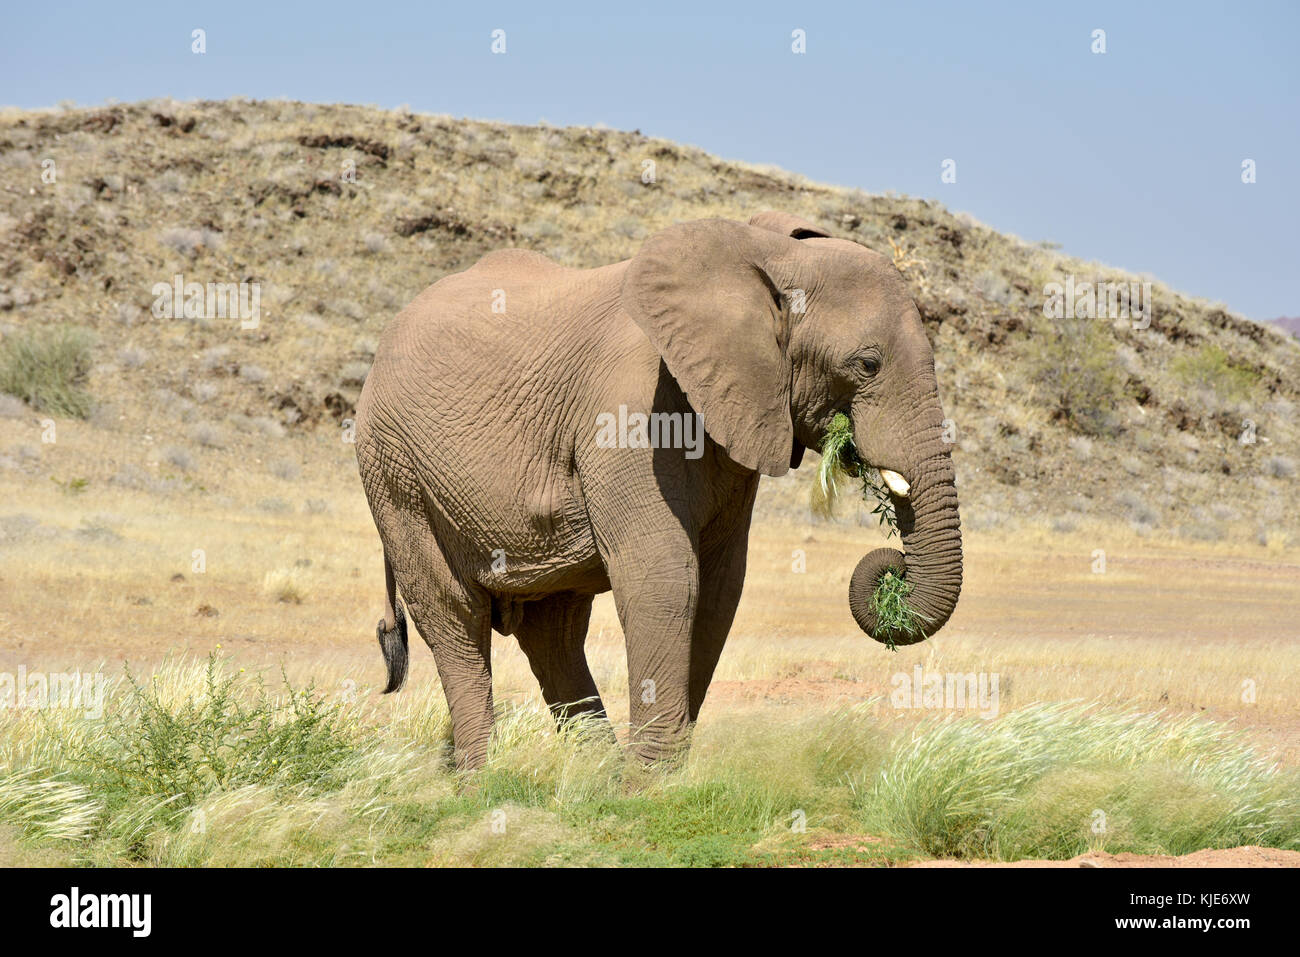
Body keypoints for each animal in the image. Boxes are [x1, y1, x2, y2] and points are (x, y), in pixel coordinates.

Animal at [355, 211, 962, 769]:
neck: (761, 257)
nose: (890, 569)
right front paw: (645, 789)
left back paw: (589, 779)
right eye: (868, 364)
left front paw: (655, 783)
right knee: (454, 615)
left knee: (554, 630)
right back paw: (483, 785)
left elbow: (718, 588)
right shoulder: (628, 412)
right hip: (394, 471)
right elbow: (665, 576)